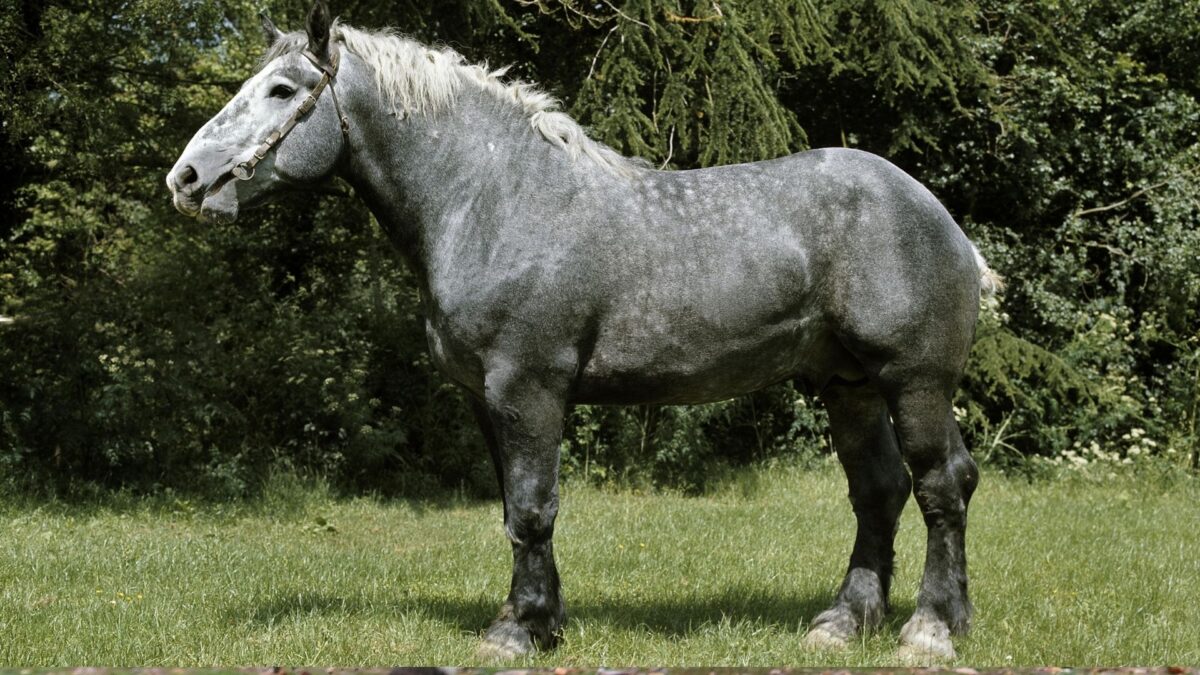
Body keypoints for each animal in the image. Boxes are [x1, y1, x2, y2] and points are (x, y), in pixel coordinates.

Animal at [167, 1, 999, 662]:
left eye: (282, 91)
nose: (187, 178)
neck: (493, 197)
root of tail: (940, 218)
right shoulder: (486, 398)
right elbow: (515, 510)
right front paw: (540, 621)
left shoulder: (528, 387)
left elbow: (535, 507)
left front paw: (516, 632)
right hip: (846, 384)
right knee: (879, 489)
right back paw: (845, 622)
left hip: (913, 381)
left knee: (941, 484)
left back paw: (932, 628)